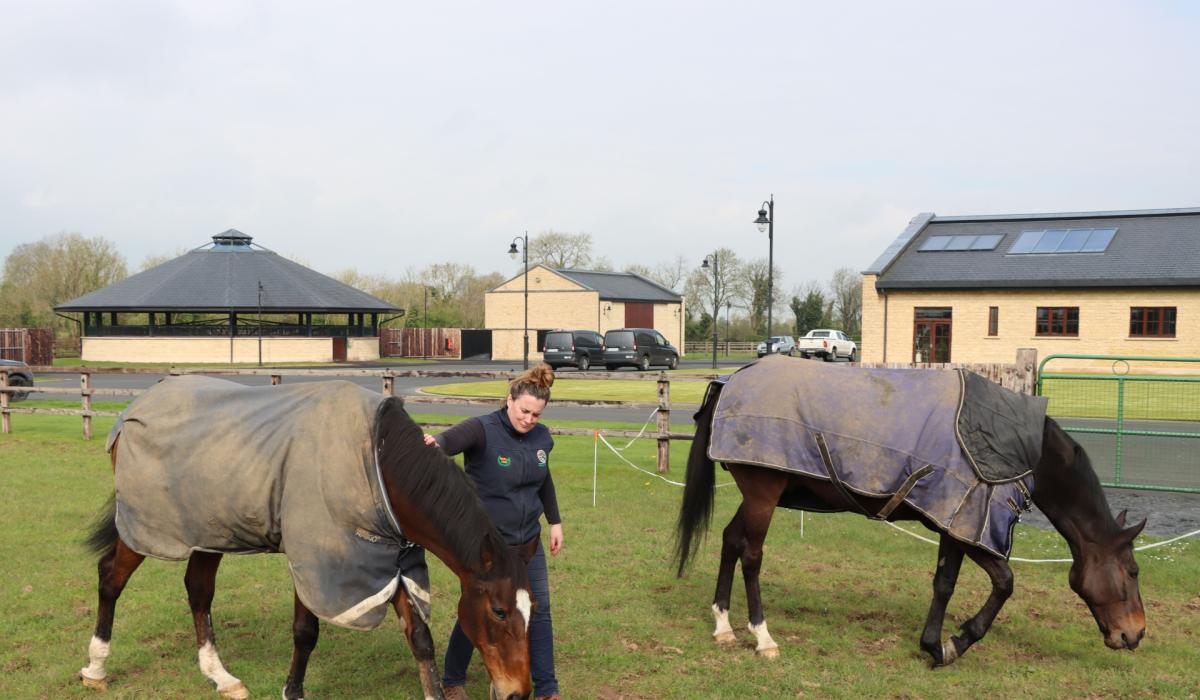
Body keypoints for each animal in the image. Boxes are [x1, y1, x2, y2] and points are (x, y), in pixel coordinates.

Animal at [81, 376, 535, 699]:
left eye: (531, 609)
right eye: (498, 611)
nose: (518, 692)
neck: (377, 460)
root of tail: (133, 411)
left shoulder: (389, 561)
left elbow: (420, 638)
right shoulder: (318, 558)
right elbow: (305, 631)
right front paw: (292, 691)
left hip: (210, 529)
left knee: (198, 589)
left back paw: (222, 677)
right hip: (148, 527)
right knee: (111, 576)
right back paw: (96, 667)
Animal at [674, 356, 1146, 666]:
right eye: (1133, 570)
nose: (1136, 633)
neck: (1019, 446)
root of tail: (731, 380)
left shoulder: (955, 523)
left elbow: (944, 583)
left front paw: (935, 644)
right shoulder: (971, 524)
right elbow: (1004, 583)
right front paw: (957, 642)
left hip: (758, 495)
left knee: (731, 540)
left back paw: (723, 627)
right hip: (763, 493)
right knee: (752, 555)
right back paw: (762, 636)